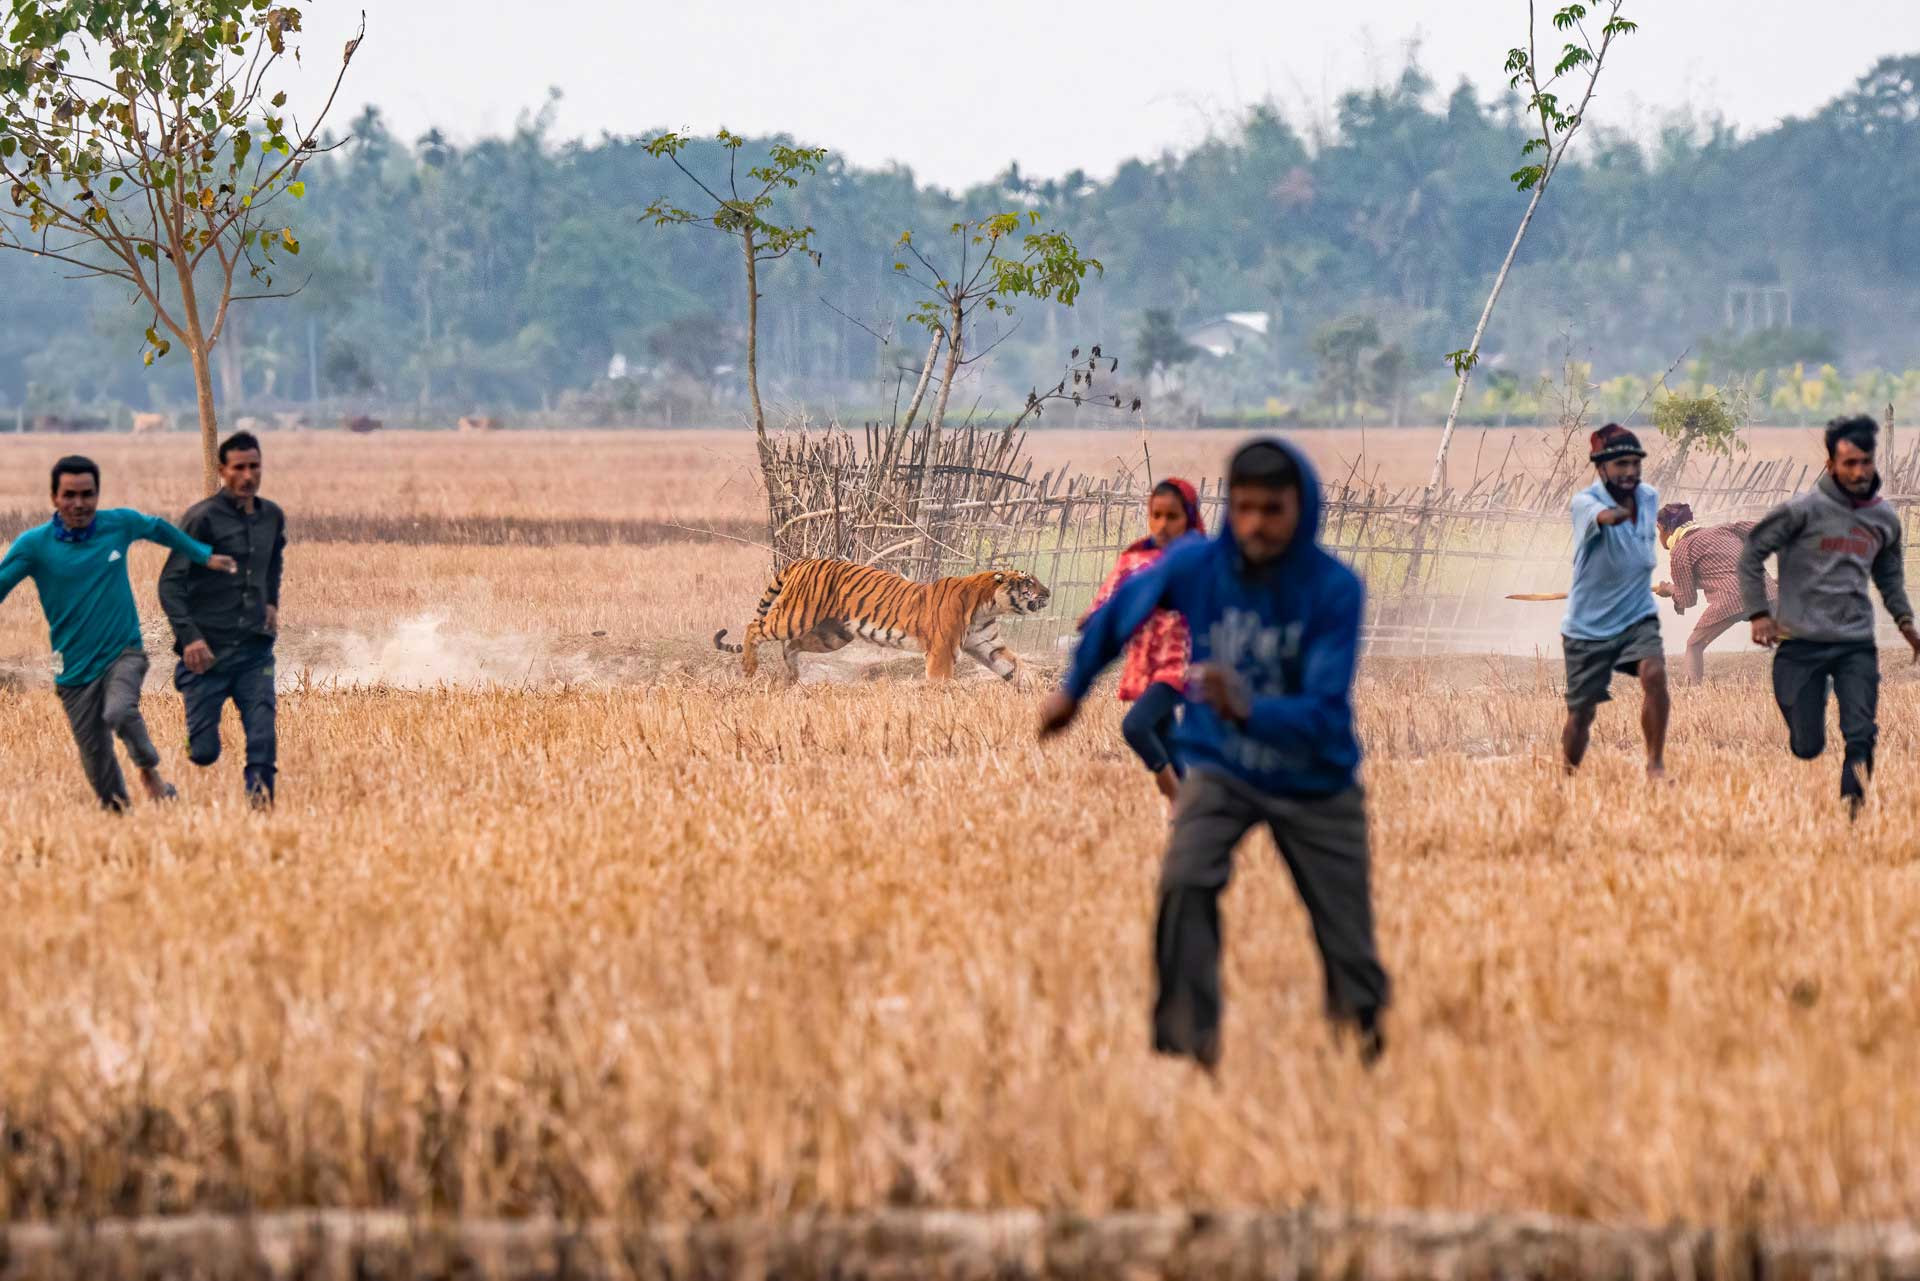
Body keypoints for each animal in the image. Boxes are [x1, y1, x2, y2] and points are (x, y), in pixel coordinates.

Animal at [713, 558, 1052, 682]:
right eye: (1029, 583)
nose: (1049, 592)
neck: (989, 606)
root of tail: (802, 560)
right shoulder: (942, 650)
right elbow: (940, 682)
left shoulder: (988, 646)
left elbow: (1016, 667)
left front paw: (1036, 691)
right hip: (795, 615)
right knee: (754, 627)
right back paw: (749, 668)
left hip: (831, 636)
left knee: (791, 646)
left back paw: (794, 676)